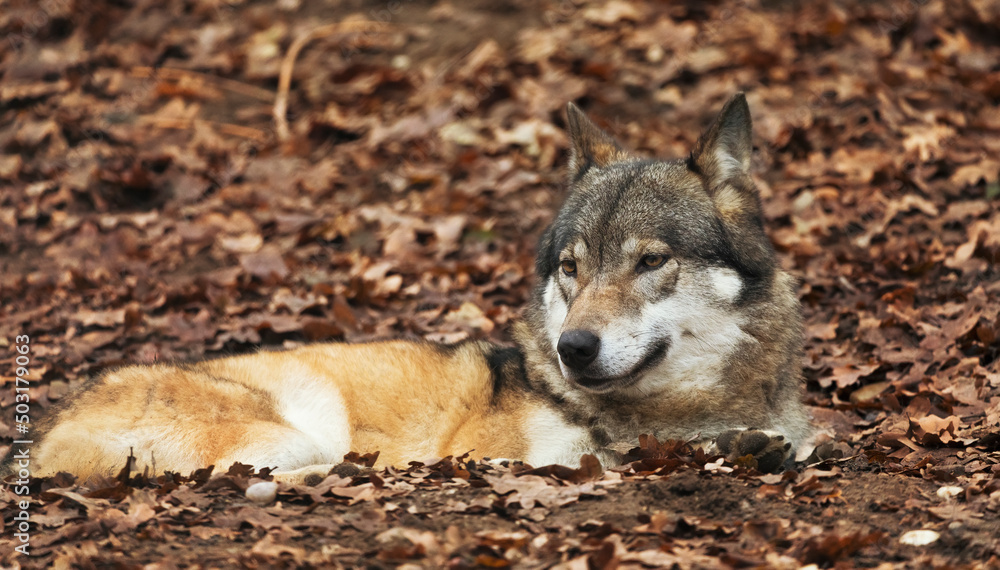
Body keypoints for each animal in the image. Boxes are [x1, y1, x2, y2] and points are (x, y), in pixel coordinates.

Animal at [4, 93, 810, 484]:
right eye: (571, 267)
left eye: (649, 261)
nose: (573, 347)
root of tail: (41, 441)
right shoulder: (514, 452)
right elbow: (596, 460)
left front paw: (751, 447)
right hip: (288, 433)